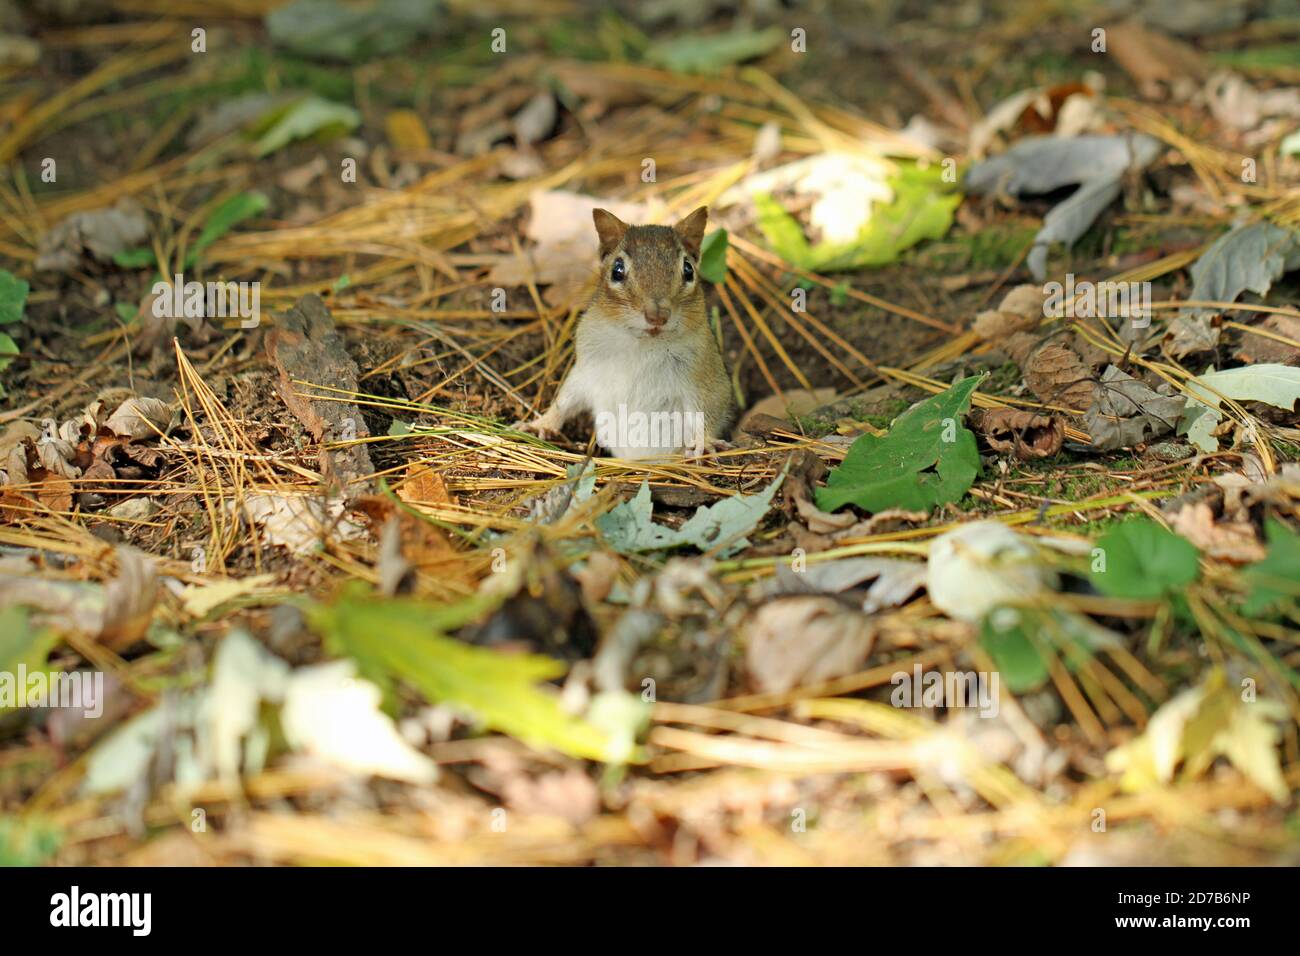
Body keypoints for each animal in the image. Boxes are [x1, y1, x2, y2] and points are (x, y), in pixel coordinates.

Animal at [518, 206, 735, 459]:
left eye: (688, 270)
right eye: (617, 270)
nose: (657, 316)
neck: (643, 344)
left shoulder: (705, 374)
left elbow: (708, 408)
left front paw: (705, 442)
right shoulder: (586, 369)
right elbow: (566, 399)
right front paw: (541, 424)